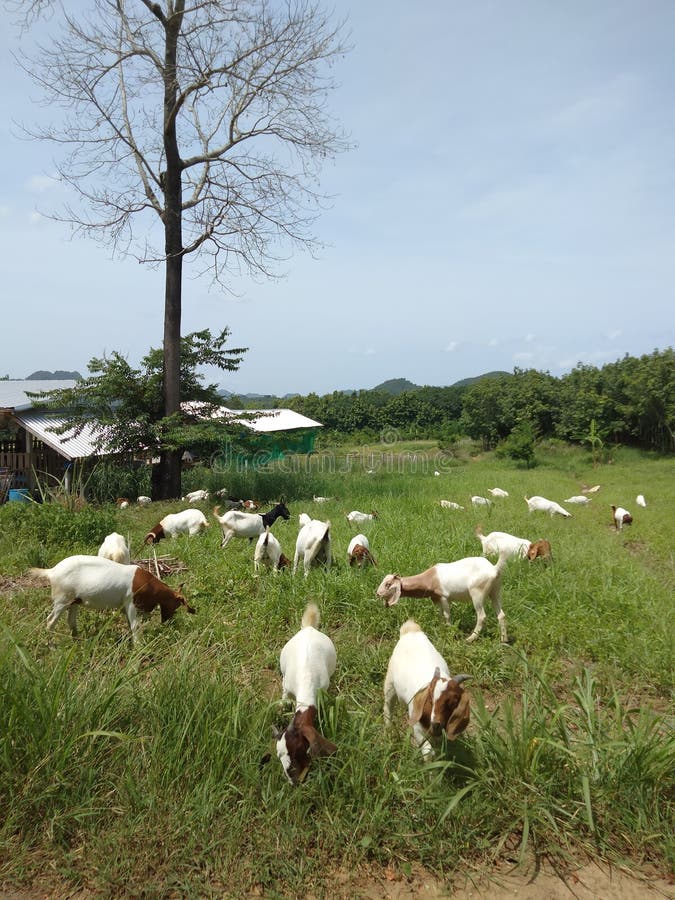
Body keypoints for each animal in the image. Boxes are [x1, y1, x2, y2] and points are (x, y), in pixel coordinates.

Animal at [31, 555, 195, 644]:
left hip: (74, 601)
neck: (149, 585)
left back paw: (77, 642)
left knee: (70, 621)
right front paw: (138, 647)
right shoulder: (131, 603)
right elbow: (135, 626)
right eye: (176, 605)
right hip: (62, 600)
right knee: (50, 621)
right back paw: (52, 645)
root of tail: (52, 571)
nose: (167, 620)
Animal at [273, 603, 337, 785]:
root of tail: (308, 628)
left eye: (298, 751)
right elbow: (284, 698)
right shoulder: (286, 686)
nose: (293, 781)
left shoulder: (324, 687)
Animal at [376, 552, 509, 643]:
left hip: (477, 594)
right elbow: (440, 615)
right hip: (495, 592)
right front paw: (441, 630)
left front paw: (450, 632)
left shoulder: (444, 597)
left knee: (481, 616)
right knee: (501, 615)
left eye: (388, 584)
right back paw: (504, 640)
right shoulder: (437, 599)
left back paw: (470, 638)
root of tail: (494, 569)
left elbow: (446, 615)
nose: (377, 593)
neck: (431, 578)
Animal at [384, 619, 471, 758]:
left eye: (453, 702)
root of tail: (411, 630)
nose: (435, 723)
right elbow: (429, 752)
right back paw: (389, 732)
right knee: (388, 705)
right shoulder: (417, 726)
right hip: (390, 682)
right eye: (430, 698)